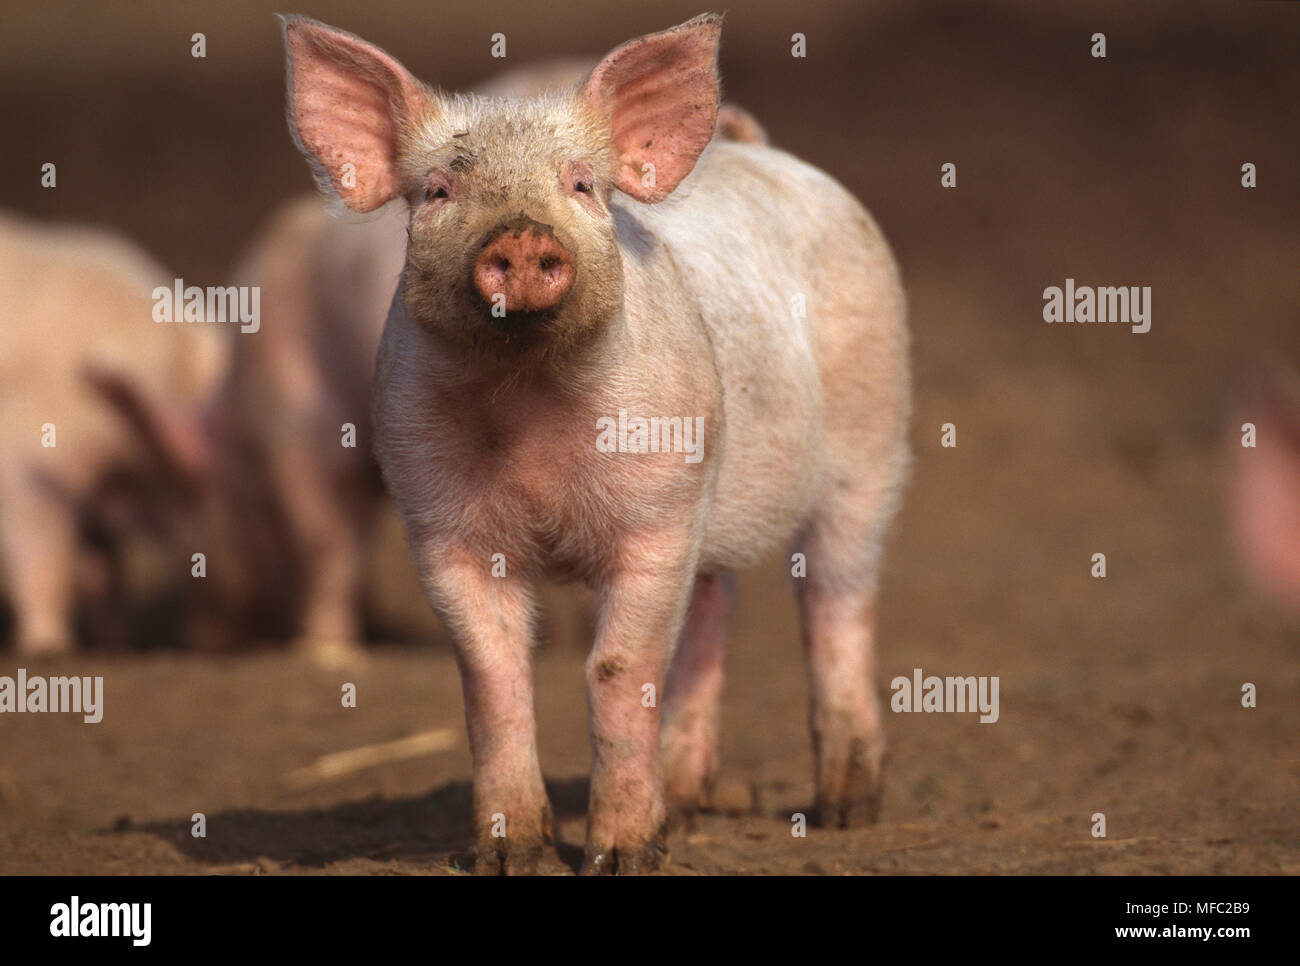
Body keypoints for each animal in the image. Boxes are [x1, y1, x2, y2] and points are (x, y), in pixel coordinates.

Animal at [281, 13, 910, 874]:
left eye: (580, 185)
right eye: (439, 191)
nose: (519, 236)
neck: (531, 410)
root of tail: (764, 152)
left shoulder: (659, 514)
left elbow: (616, 669)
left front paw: (624, 857)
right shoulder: (440, 527)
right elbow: (492, 674)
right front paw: (510, 857)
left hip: (868, 448)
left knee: (838, 601)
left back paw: (847, 811)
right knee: (716, 606)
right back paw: (688, 800)